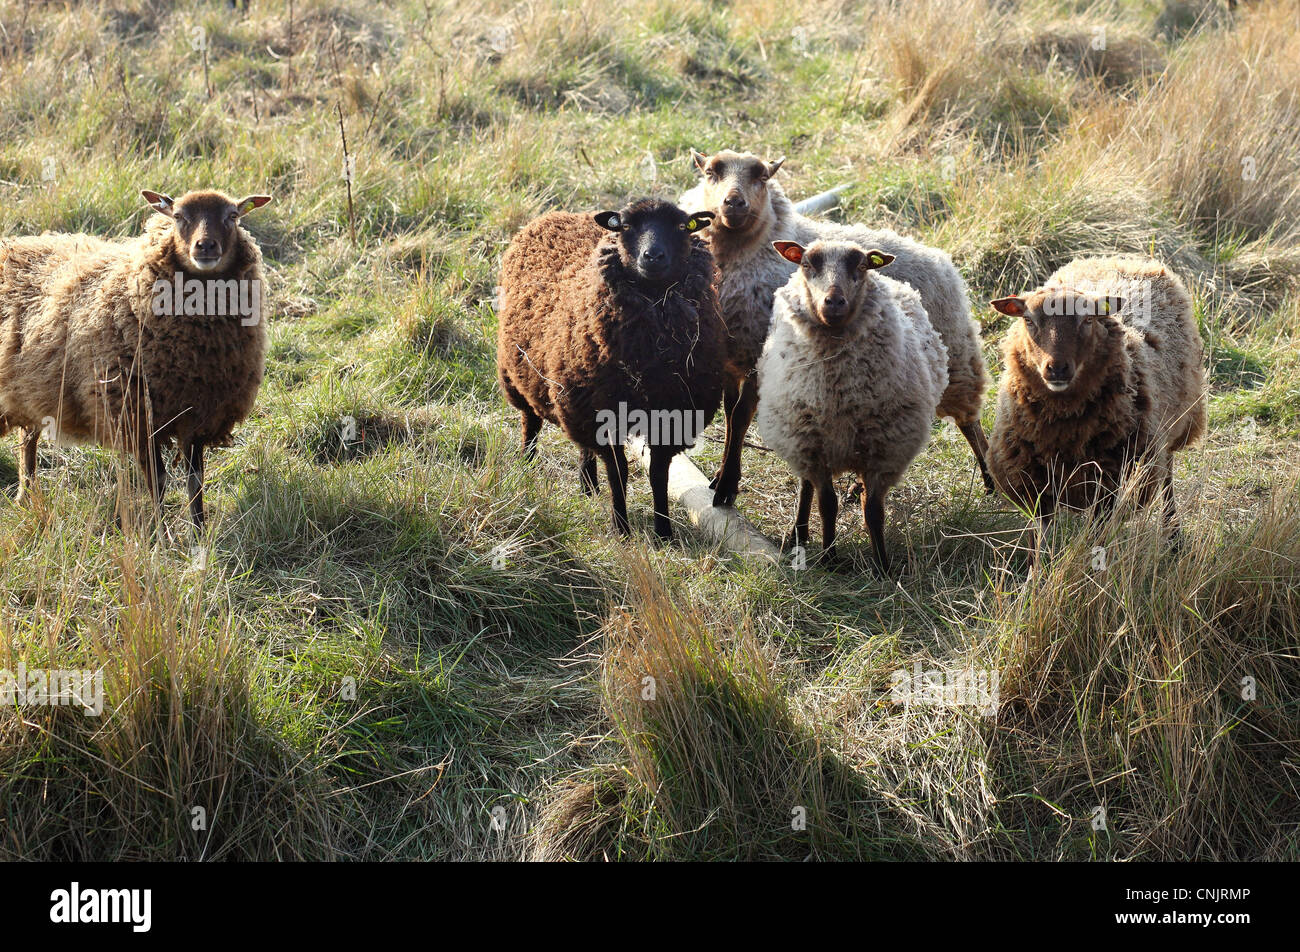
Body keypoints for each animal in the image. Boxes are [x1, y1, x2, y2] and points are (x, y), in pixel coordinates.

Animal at [0, 189, 272, 530]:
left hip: (29, 392)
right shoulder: (136, 416)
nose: (206, 246)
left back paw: (26, 497)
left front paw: (199, 533)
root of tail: (18, 242)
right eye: (178, 216)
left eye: (232, 216)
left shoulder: (198, 414)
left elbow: (195, 482)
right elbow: (158, 481)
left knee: (27, 439)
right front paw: (160, 535)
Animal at [496, 197, 725, 540]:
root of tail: (559, 214)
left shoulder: (672, 414)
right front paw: (621, 528)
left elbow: (658, 474)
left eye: (682, 227)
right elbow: (619, 472)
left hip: (574, 399)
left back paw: (588, 485)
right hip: (522, 375)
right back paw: (527, 464)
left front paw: (663, 532)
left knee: (582, 445)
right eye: (626, 226)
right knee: (531, 422)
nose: (652, 256)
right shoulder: (601, 412)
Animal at [681, 148, 990, 508]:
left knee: (970, 422)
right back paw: (859, 488)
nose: (733, 202)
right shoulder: (732, 357)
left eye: (762, 176)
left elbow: (742, 416)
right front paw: (720, 475)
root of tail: (942, 259)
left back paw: (991, 481)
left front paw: (728, 485)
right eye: (711, 172)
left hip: (955, 353)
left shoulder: (764, 355)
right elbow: (731, 415)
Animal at [756, 239, 949, 573]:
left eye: (861, 266)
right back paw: (798, 533)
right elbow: (826, 506)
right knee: (805, 487)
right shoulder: (815, 450)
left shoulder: (883, 452)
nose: (834, 302)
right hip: (799, 438)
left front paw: (882, 566)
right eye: (807, 264)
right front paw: (829, 558)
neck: (840, 392)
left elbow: (873, 511)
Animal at [986, 255, 1207, 559]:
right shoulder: (1034, 483)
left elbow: (1096, 537)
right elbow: (1038, 541)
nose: (1057, 369)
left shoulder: (1111, 483)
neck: (1065, 431)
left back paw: (1173, 537)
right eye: (1028, 320)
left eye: (1088, 319)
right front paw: (1037, 571)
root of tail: (1120, 258)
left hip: (1173, 426)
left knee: (1167, 478)